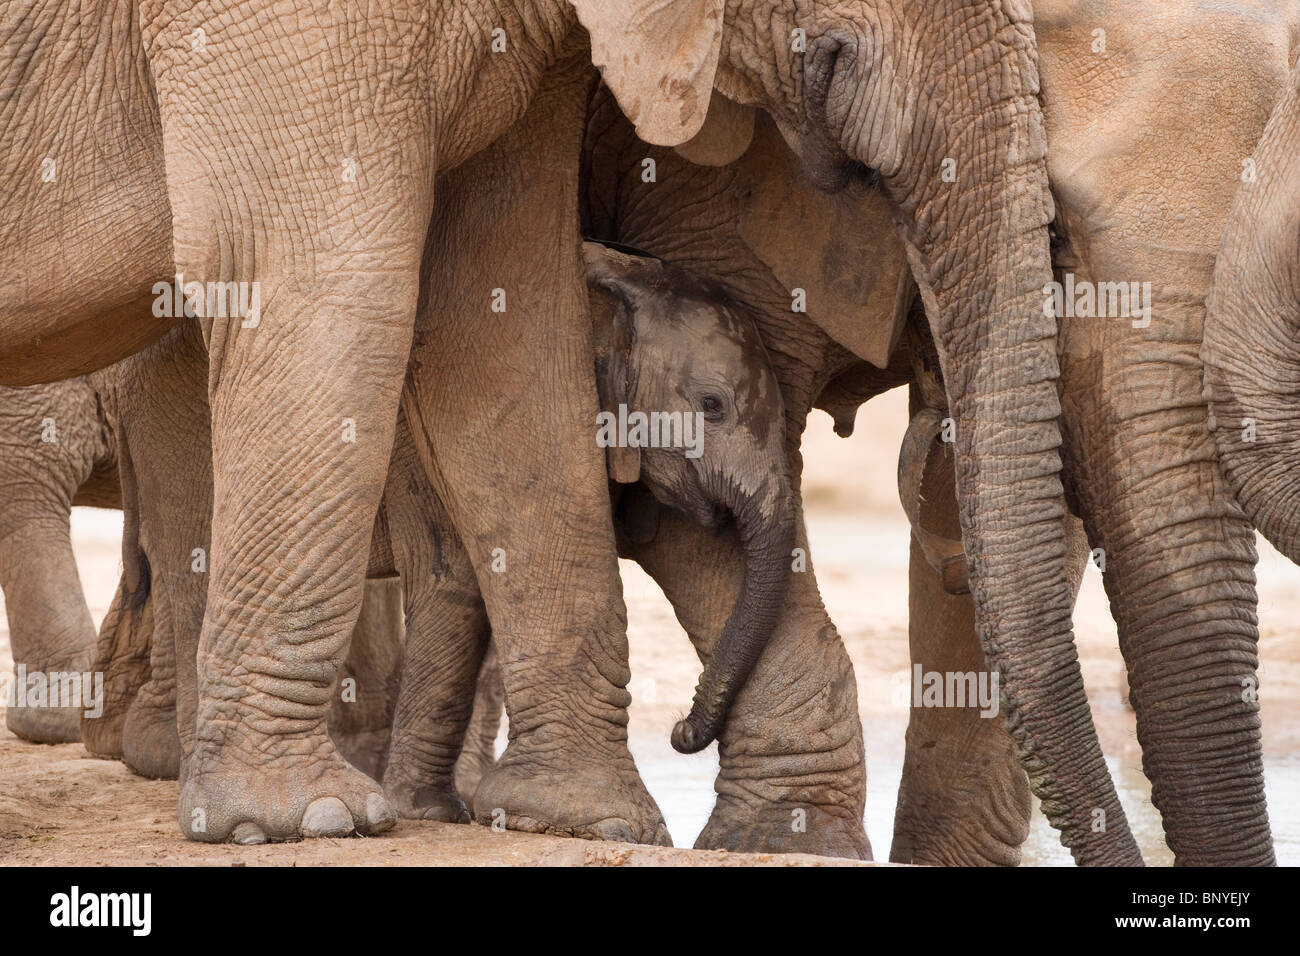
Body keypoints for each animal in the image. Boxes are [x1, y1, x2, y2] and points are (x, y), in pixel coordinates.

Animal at [1, 0, 1110, 855]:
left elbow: (497, 330)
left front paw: (576, 820)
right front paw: (313, 820)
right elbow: (320, 283)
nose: (684, 729)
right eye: (709, 408)